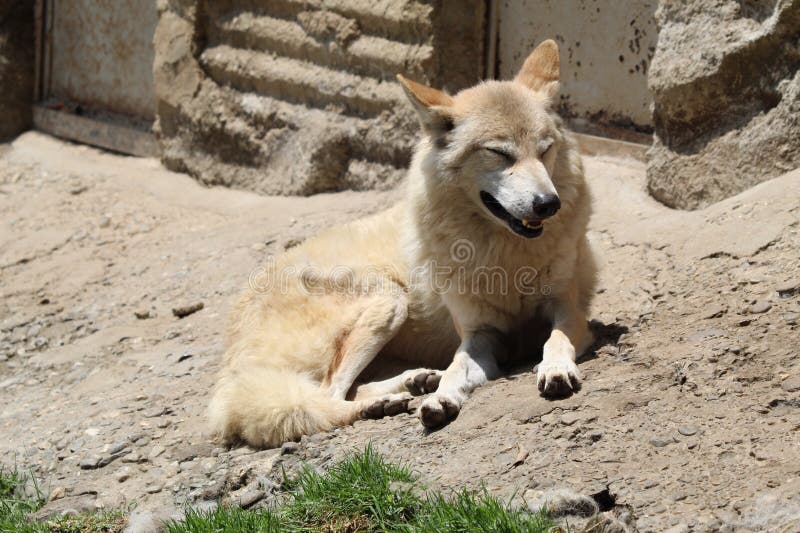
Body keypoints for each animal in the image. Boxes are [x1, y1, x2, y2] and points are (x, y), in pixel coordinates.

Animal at [209, 40, 597, 448]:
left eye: (545, 149)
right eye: (499, 153)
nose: (548, 203)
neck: (504, 254)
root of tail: (229, 362)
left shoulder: (566, 308)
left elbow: (555, 339)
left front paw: (555, 369)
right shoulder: (479, 335)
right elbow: (458, 369)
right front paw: (442, 399)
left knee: (344, 389)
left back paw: (414, 382)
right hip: (388, 298)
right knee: (325, 396)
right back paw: (385, 404)